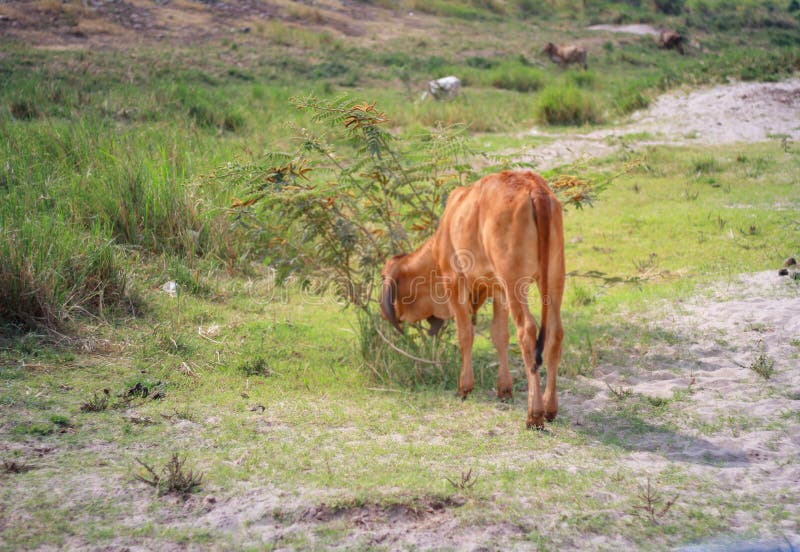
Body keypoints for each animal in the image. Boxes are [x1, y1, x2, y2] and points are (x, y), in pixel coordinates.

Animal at [380, 170, 565, 429]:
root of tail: (533, 186)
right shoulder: (498, 289)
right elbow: (499, 335)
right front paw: (504, 389)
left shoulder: (455, 282)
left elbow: (465, 334)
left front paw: (464, 387)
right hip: (554, 278)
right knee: (555, 334)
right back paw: (550, 408)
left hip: (515, 282)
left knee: (527, 331)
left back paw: (534, 414)